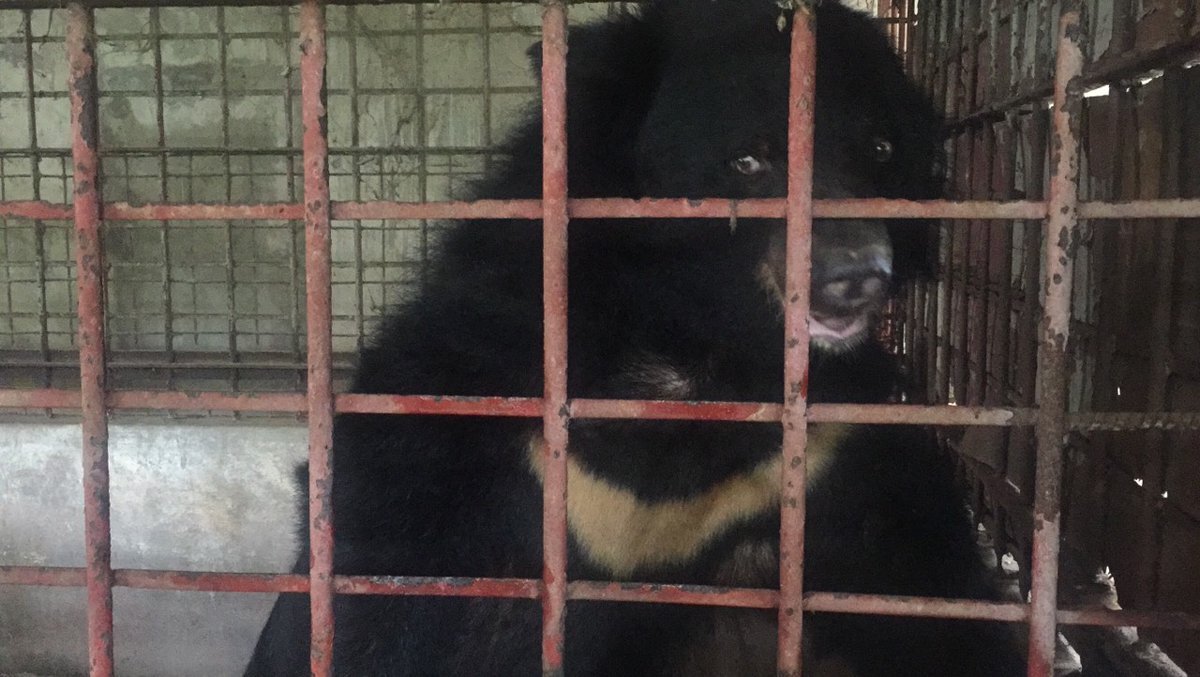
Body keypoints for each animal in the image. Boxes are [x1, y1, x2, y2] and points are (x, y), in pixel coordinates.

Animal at [245, 1, 1024, 675]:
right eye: (747, 161)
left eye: (882, 150)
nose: (856, 275)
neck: (695, 337)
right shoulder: (464, 403)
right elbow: (384, 579)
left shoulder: (839, 452)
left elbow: (923, 592)